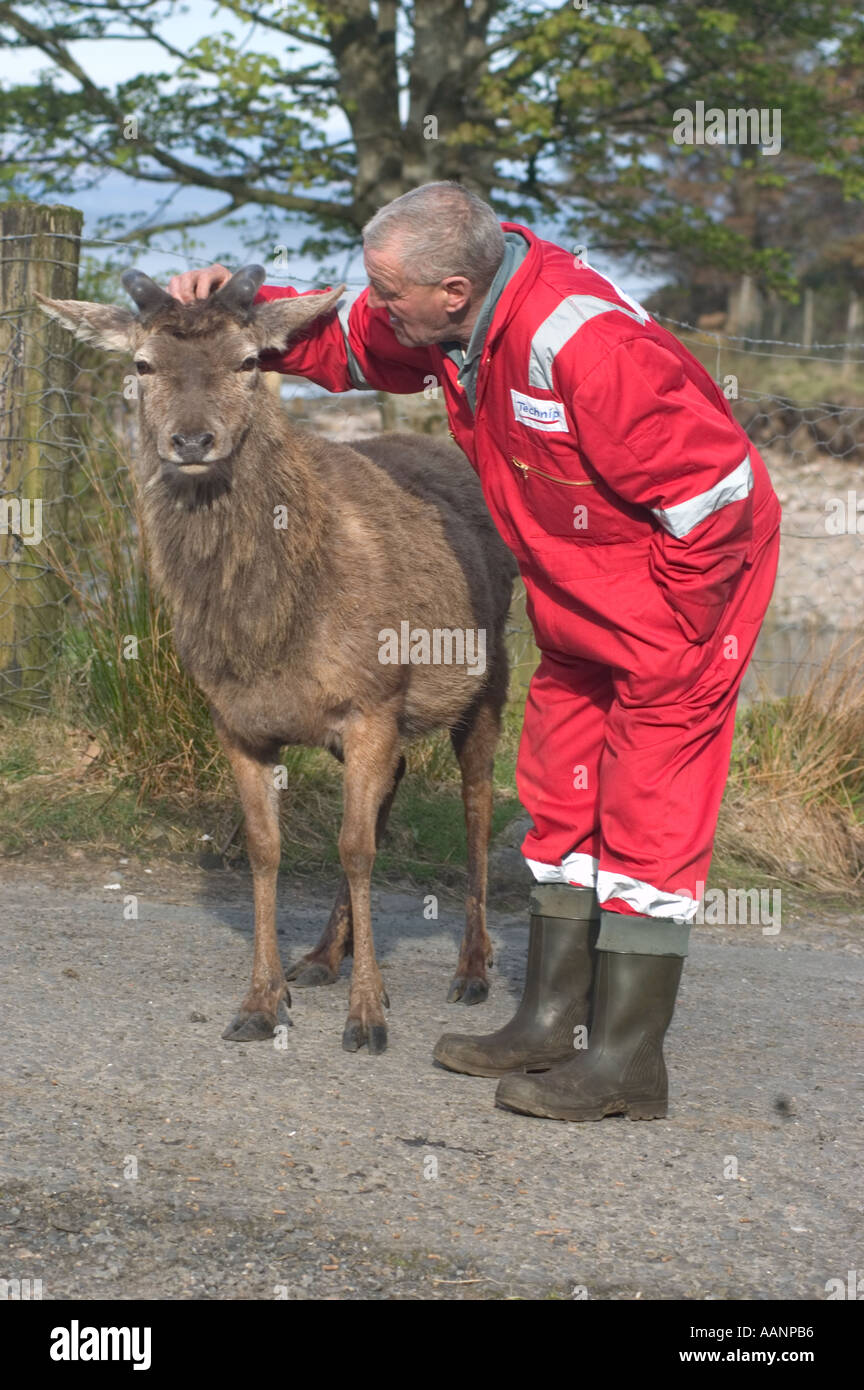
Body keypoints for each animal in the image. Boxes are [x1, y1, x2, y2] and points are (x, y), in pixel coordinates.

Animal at [37, 266, 517, 1054]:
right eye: (142, 365)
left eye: (248, 361)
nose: (191, 438)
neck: (269, 636)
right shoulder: (236, 721)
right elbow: (265, 849)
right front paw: (262, 1003)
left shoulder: (373, 699)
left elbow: (357, 849)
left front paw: (368, 1017)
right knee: (396, 786)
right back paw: (322, 955)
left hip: (488, 675)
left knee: (477, 803)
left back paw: (473, 968)